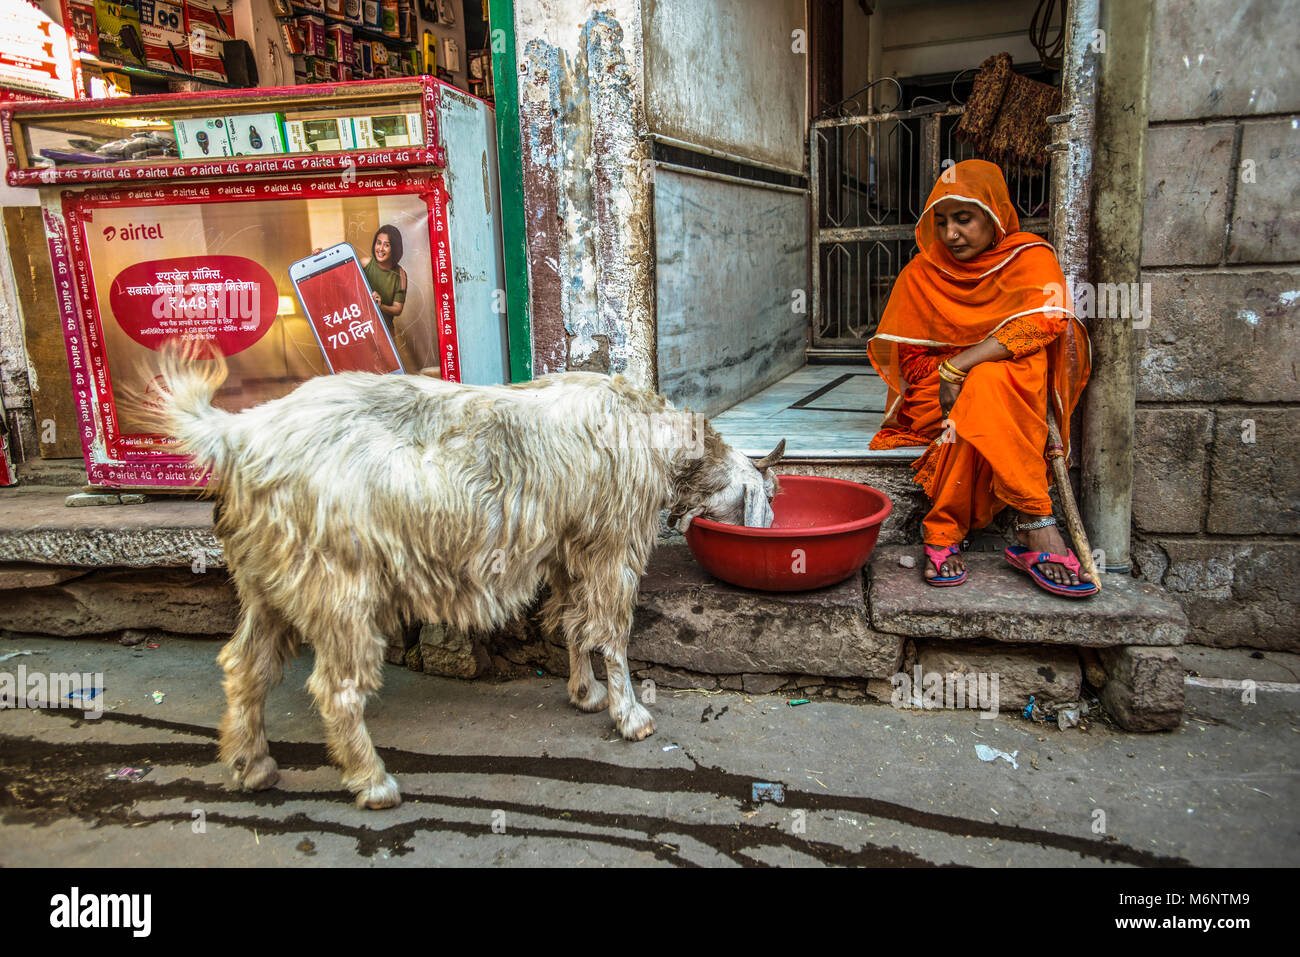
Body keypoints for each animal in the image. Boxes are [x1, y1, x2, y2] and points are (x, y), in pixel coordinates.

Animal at [152, 348, 784, 808]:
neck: (655, 435)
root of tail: (240, 436)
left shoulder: (567, 549)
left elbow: (573, 624)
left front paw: (584, 694)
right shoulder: (612, 545)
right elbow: (609, 632)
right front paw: (629, 716)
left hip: (268, 580)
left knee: (245, 666)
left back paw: (251, 765)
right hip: (338, 586)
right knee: (335, 687)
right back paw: (372, 783)